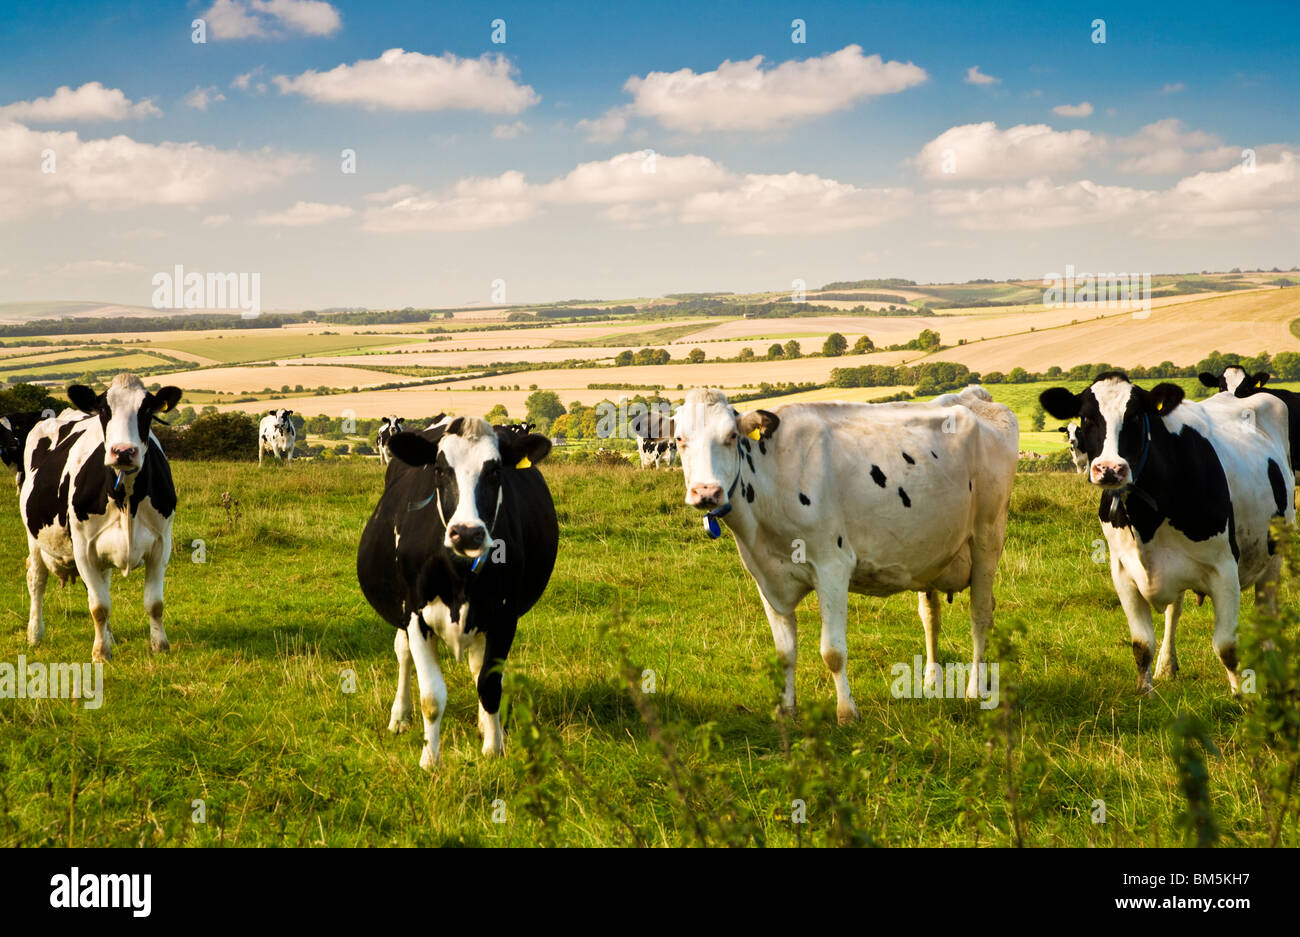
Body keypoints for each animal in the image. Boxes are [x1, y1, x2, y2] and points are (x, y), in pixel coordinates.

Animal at [19, 374, 182, 661]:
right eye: (105, 410)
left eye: (146, 410)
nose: (124, 451)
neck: (126, 497)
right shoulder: (84, 549)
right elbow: (99, 606)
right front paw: (100, 653)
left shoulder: (162, 544)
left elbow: (155, 603)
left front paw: (160, 646)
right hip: (34, 537)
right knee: (36, 580)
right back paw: (35, 635)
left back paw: (110, 636)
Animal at [356, 417, 558, 769]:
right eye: (439, 469)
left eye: (495, 471)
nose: (466, 532)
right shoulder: (415, 616)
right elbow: (432, 696)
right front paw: (430, 761)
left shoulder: (504, 616)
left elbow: (489, 684)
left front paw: (494, 748)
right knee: (402, 654)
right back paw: (400, 716)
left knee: (478, 667)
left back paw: (484, 724)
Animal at [671, 385, 1019, 722]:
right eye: (679, 439)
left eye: (731, 436)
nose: (706, 492)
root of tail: (973, 396)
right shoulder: (766, 575)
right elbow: (784, 652)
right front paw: (786, 711)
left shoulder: (832, 566)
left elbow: (833, 651)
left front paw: (846, 712)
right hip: (932, 552)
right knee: (931, 616)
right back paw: (932, 681)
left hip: (987, 536)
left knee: (980, 615)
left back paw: (975, 689)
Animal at [1040, 372, 1294, 693]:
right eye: (1086, 417)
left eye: (1136, 416)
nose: (1109, 469)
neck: (1146, 519)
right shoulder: (1122, 571)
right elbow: (1141, 644)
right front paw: (1144, 691)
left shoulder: (1224, 568)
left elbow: (1226, 646)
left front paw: (1242, 695)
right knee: (1175, 610)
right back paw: (1166, 665)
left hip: (1275, 553)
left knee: (1267, 609)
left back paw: (1273, 666)